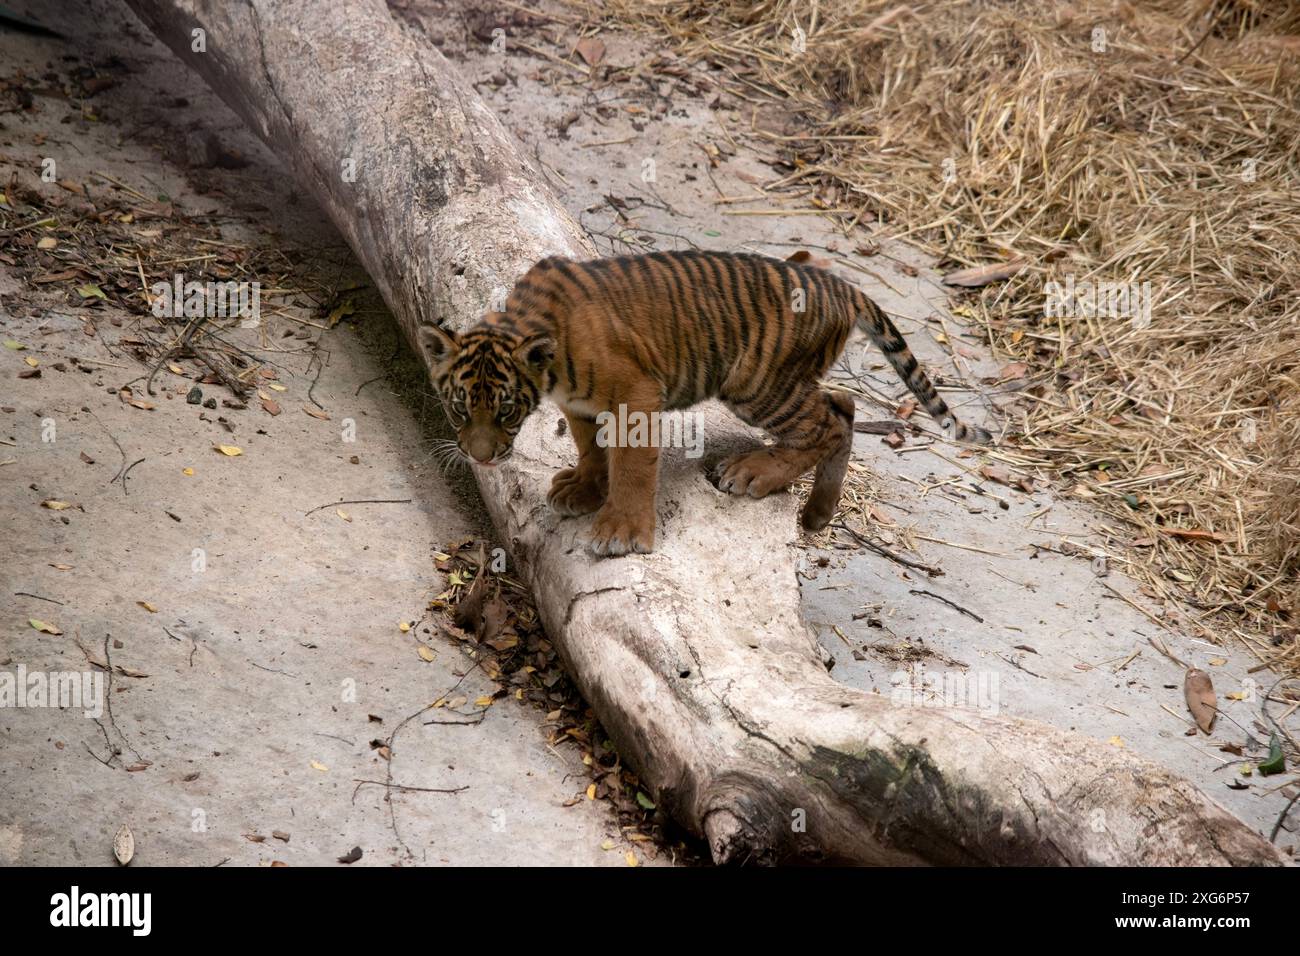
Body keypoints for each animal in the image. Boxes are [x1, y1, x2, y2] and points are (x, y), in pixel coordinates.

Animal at [420, 250, 991, 557]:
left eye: (506, 411)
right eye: (459, 409)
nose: (481, 457)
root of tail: (840, 284)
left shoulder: (636, 393)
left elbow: (632, 464)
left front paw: (622, 531)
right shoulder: (578, 404)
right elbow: (590, 445)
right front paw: (583, 487)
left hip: (756, 383)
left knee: (828, 423)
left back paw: (754, 473)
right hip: (789, 382)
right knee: (844, 405)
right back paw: (816, 515)